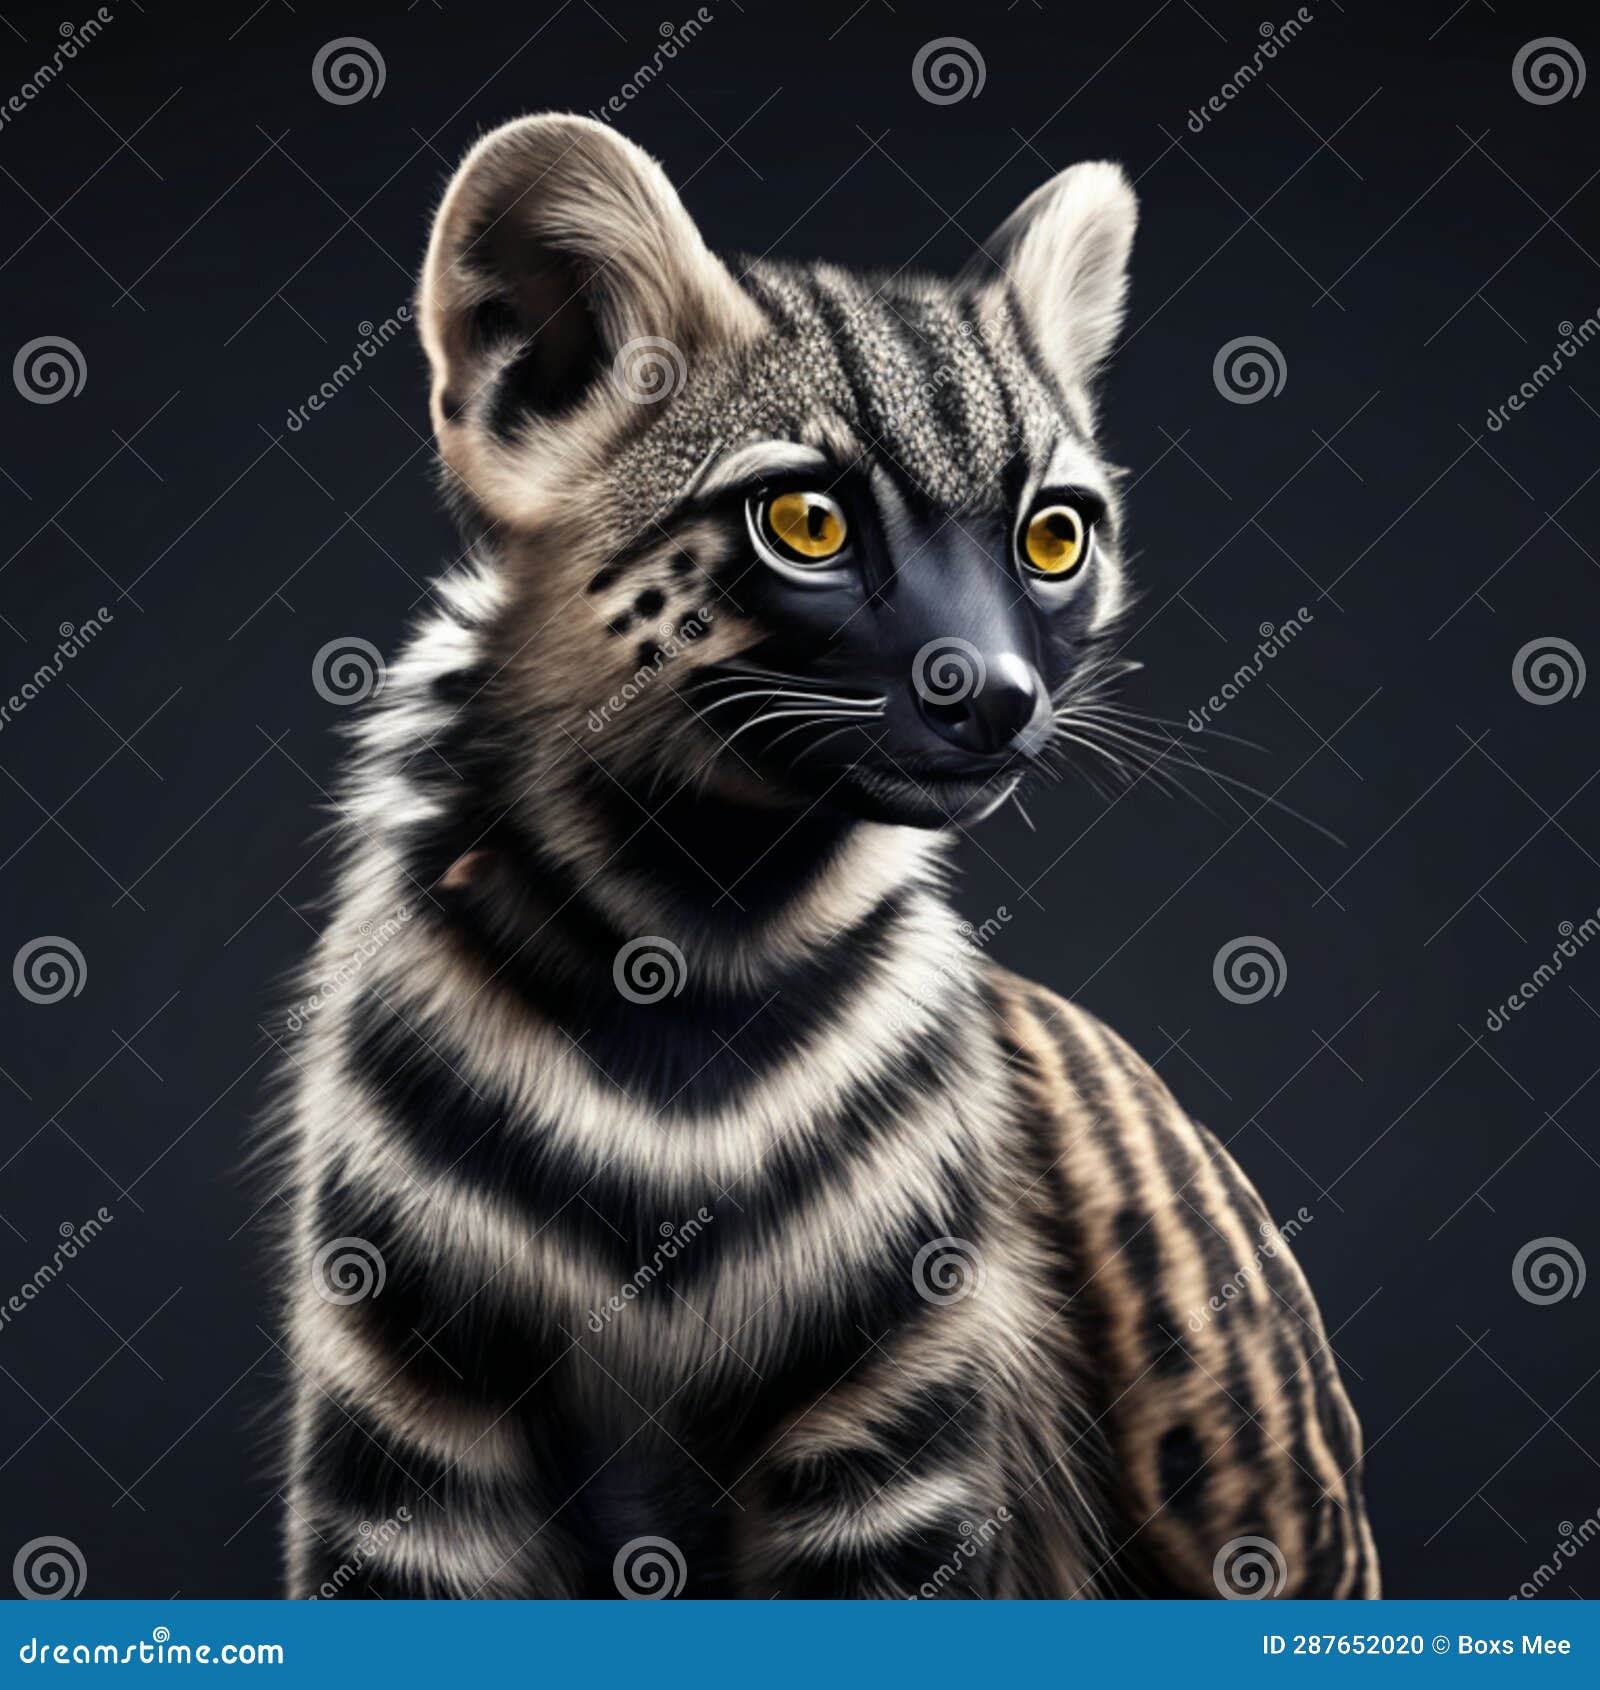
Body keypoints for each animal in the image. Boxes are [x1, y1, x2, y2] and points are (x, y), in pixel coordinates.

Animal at [270, 113, 1378, 1600]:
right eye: (808, 520)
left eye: (1054, 535)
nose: (997, 699)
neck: (695, 923)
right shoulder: (403, 1420)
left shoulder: (892, 1424)